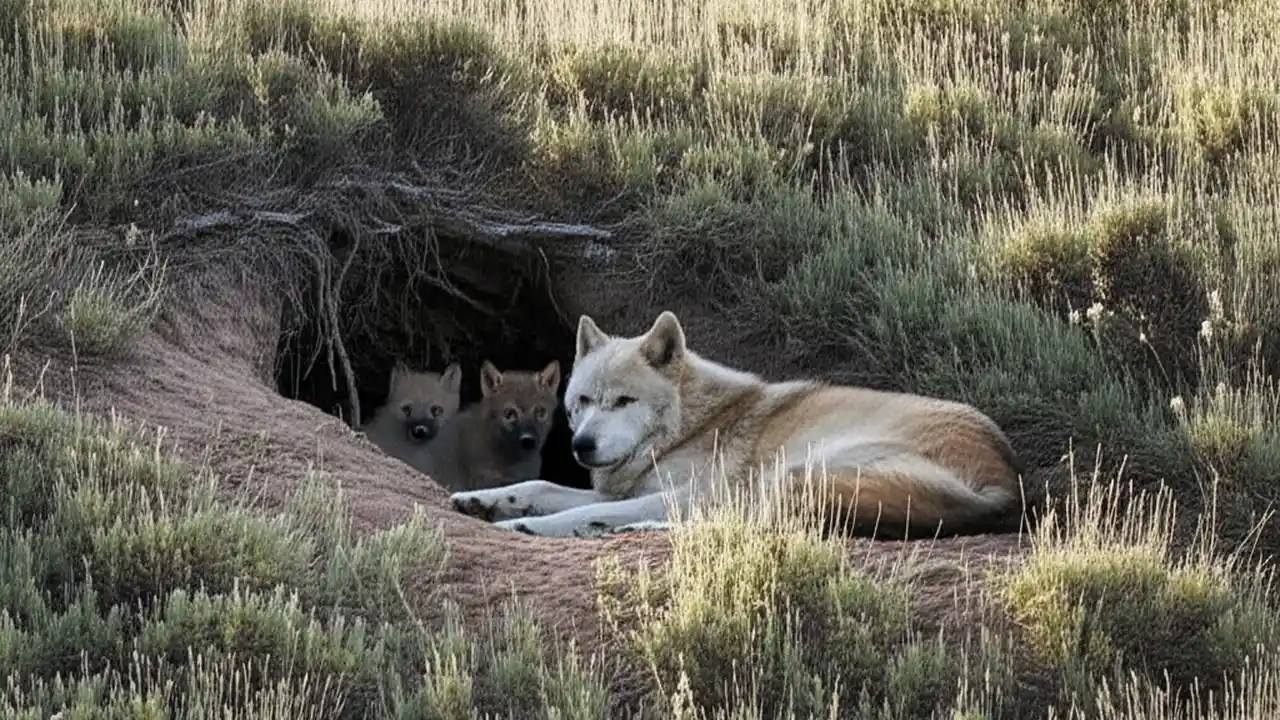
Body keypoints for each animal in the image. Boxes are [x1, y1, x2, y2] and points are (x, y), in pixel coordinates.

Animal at [449, 310, 1025, 539]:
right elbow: (541, 487)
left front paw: (523, 526)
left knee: (738, 523)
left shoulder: (674, 494)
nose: (583, 446)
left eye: (624, 401)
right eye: (583, 401)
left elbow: (572, 514)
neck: (691, 425)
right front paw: (483, 501)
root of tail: (1008, 485)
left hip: (794, 474)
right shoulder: (628, 490)